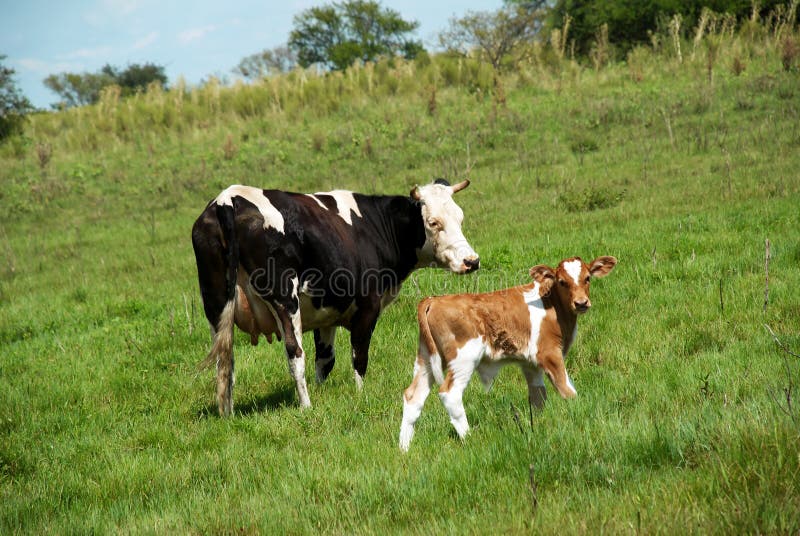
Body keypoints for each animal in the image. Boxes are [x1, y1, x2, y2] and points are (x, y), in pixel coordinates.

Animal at [191, 179, 479, 416]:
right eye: (433, 222)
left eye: (461, 218)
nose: (472, 261)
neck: (374, 226)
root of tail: (229, 199)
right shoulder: (367, 307)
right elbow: (359, 355)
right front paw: (361, 395)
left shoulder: (327, 313)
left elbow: (325, 360)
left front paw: (322, 391)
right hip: (285, 298)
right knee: (295, 353)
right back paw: (306, 406)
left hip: (216, 304)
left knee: (224, 360)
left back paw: (227, 413)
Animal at [398, 255, 617, 451]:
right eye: (562, 282)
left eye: (587, 278)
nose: (581, 303)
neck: (552, 304)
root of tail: (433, 300)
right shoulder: (549, 353)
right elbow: (567, 390)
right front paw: (578, 417)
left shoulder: (530, 364)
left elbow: (538, 396)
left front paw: (537, 425)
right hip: (463, 359)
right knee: (450, 394)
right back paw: (470, 439)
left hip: (426, 359)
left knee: (413, 396)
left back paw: (404, 448)